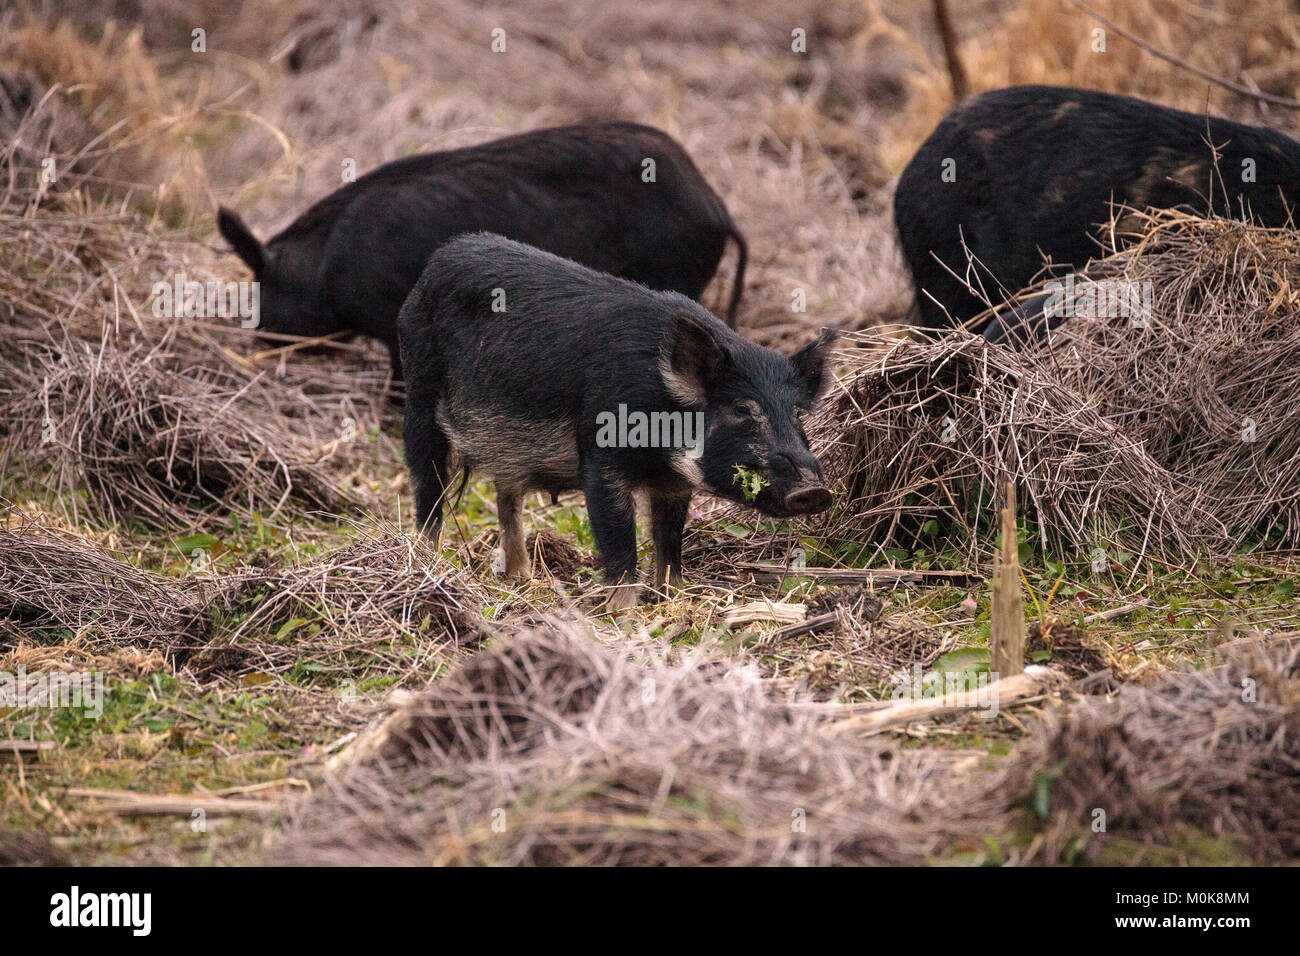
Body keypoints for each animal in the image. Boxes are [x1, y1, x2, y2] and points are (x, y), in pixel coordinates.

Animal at [217, 122, 748, 377]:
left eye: (261, 282)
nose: (256, 336)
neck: (322, 271)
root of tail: (716, 205)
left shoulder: (392, 318)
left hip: (675, 271)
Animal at [399, 233, 836, 610]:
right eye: (742, 410)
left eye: (797, 413)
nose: (814, 490)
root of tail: (440, 259)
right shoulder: (600, 458)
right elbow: (618, 542)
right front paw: (624, 613)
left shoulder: (673, 483)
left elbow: (669, 540)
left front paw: (673, 597)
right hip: (419, 395)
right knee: (428, 490)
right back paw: (426, 563)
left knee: (507, 494)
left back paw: (523, 578)